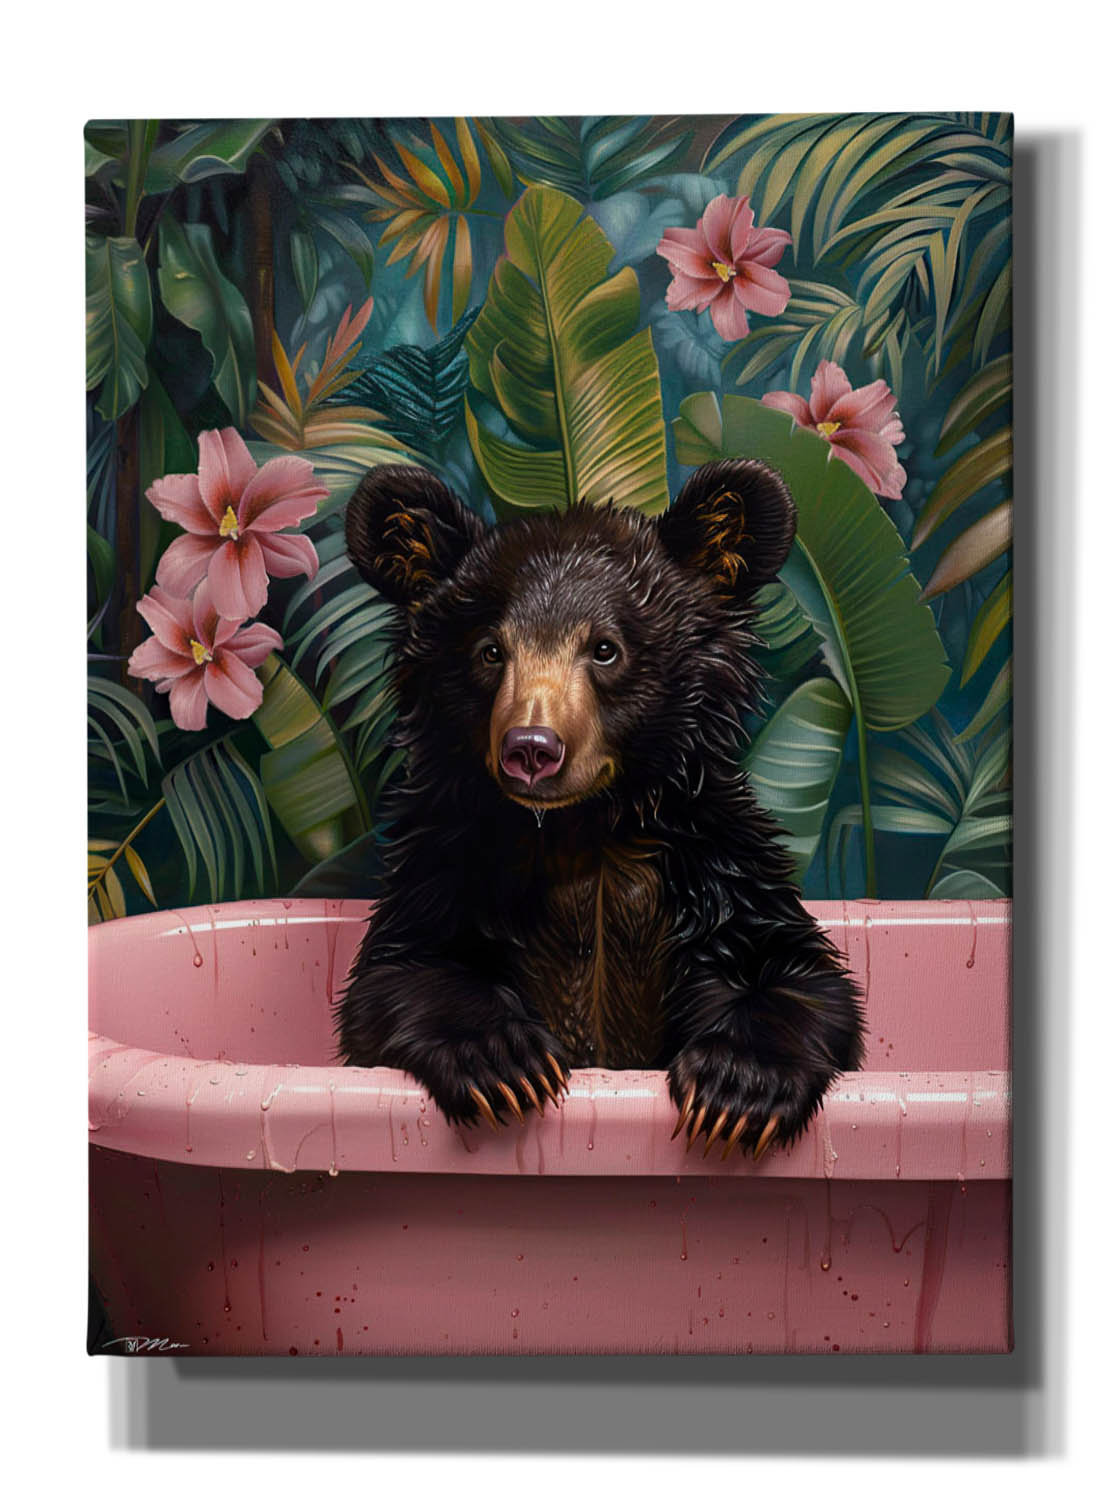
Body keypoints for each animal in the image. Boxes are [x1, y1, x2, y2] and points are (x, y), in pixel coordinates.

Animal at [336, 458, 863, 1160]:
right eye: (491, 650)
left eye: (605, 648)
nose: (532, 748)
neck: (586, 828)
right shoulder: (448, 867)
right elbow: (399, 971)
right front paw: (504, 1060)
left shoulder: (715, 867)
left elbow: (797, 971)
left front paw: (738, 1085)